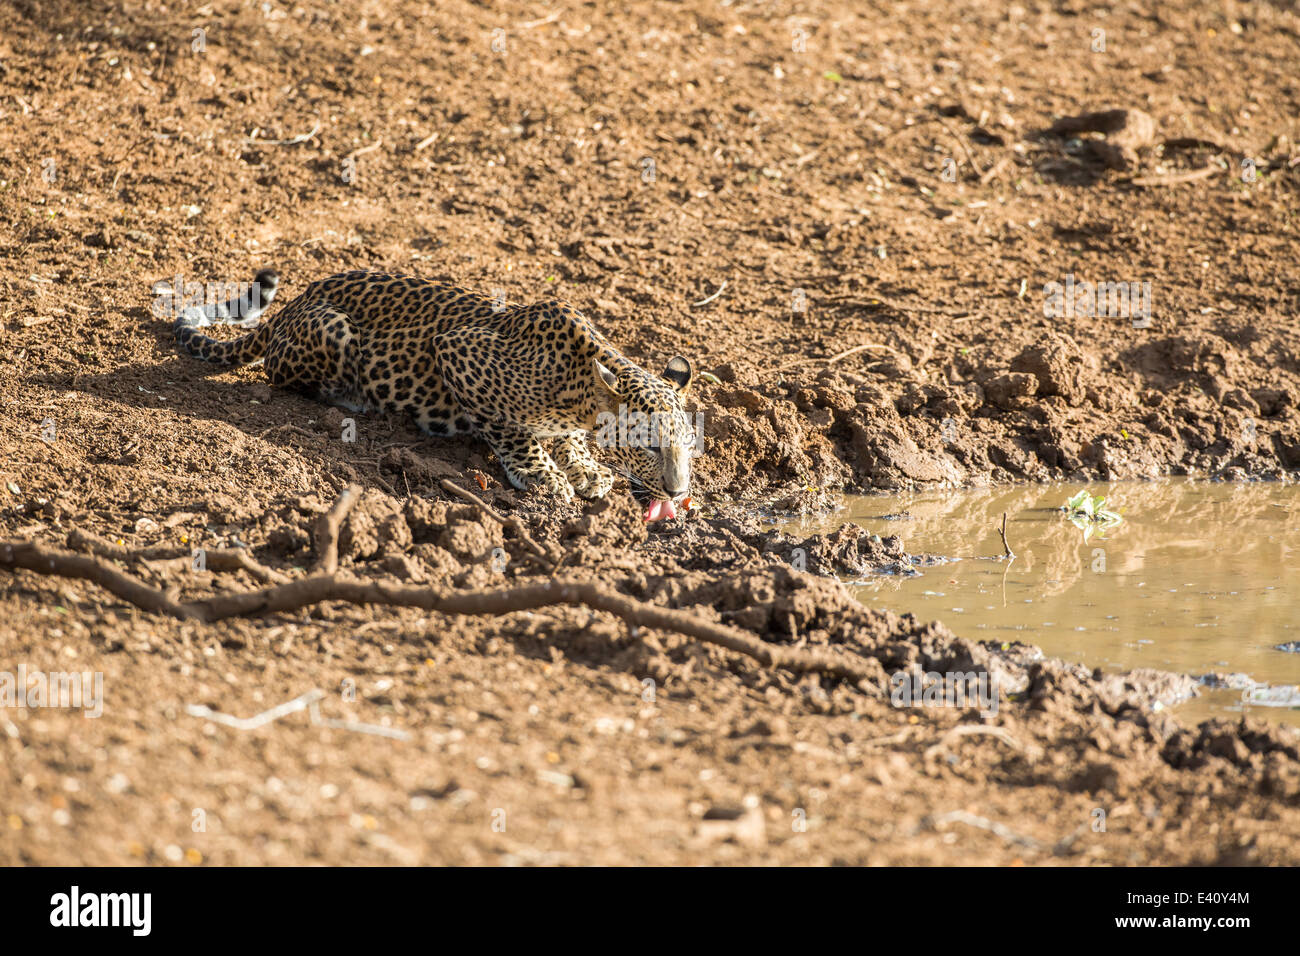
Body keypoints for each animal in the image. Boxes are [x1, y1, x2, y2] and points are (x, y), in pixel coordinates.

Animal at [169, 269, 698, 510]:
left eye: (688, 448)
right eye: (649, 447)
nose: (678, 490)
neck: (577, 387)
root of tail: (292, 304)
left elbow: (565, 439)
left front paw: (584, 467)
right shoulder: (456, 351)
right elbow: (513, 431)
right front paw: (543, 474)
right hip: (334, 330)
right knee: (286, 378)